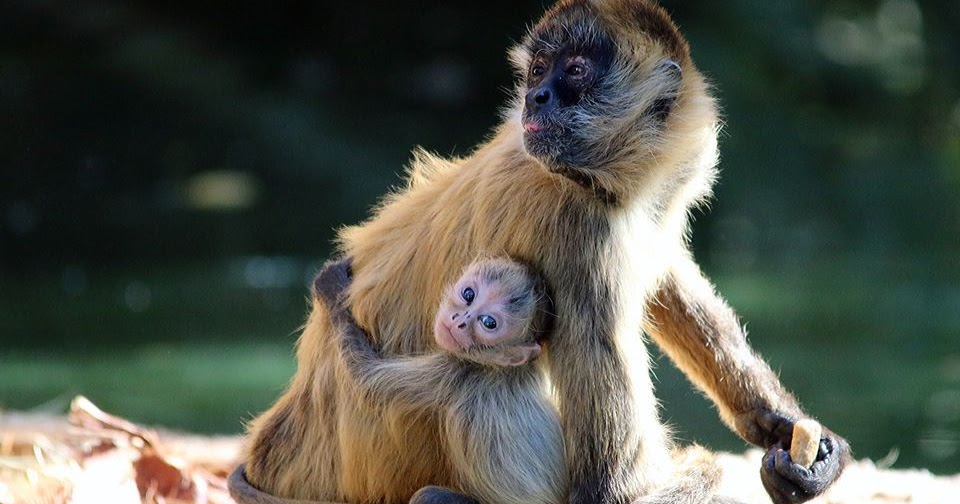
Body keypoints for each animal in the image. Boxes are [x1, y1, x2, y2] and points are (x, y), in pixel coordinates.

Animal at [239, 1, 850, 504]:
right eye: (537, 71)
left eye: (573, 72)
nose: (537, 96)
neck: (601, 181)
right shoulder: (579, 228)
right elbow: (611, 490)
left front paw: (786, 430)